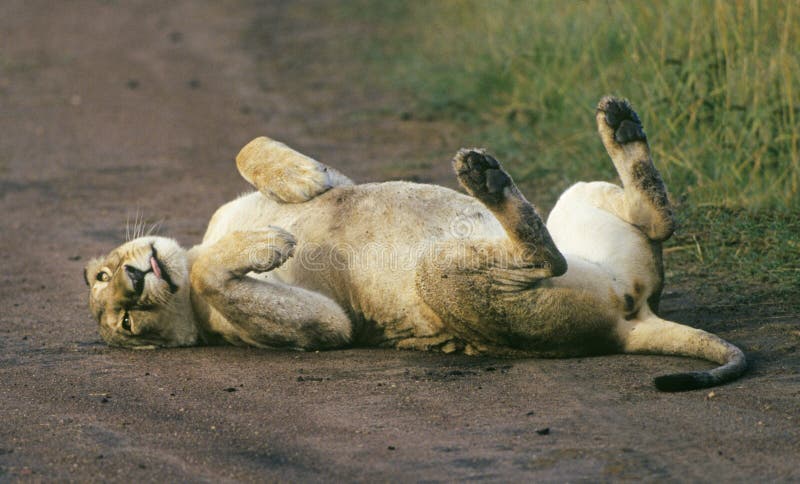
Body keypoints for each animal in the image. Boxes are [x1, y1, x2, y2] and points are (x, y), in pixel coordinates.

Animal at [84, 97, 746, 391]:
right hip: (446, 276)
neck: (203, 244)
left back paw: (619, 124)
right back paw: (486, 178)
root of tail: (630, 320)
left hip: (580, 203)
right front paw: (271, 244)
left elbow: (253, 150)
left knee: (655, 222)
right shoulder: (326, 329)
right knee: (548, 256)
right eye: (125, 325)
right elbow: (213, 279)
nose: (132, 285)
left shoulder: (324, 185)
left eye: (102, 279)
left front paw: (300, 183)